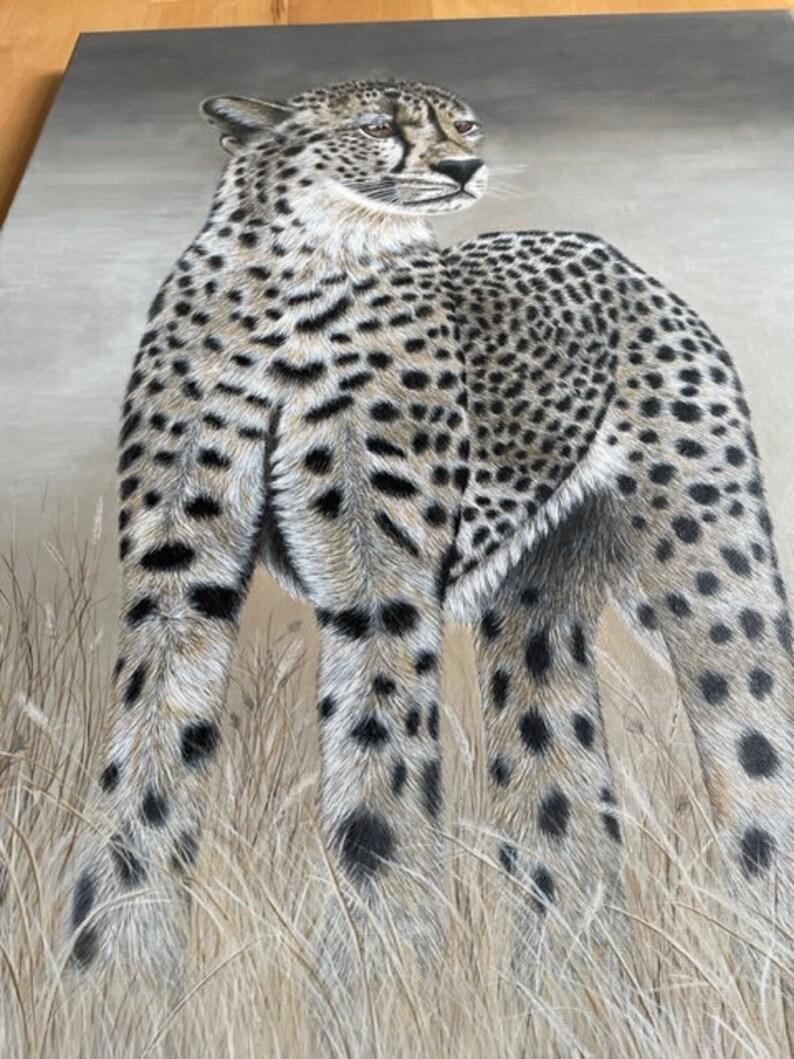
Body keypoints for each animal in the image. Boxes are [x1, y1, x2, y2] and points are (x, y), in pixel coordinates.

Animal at [67, 77, 794, 980]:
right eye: (378, 126)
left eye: (465, 127)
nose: (464, 167)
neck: (299, 277)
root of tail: (614, 259)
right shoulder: (178, 575)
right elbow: (154, 739)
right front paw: (114, 955)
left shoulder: (381, 588)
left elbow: (379, 763)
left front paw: (380, 961)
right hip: (535, 620)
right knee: (560, 790)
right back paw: (566, 980)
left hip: (716, 584)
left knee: (756, 750)